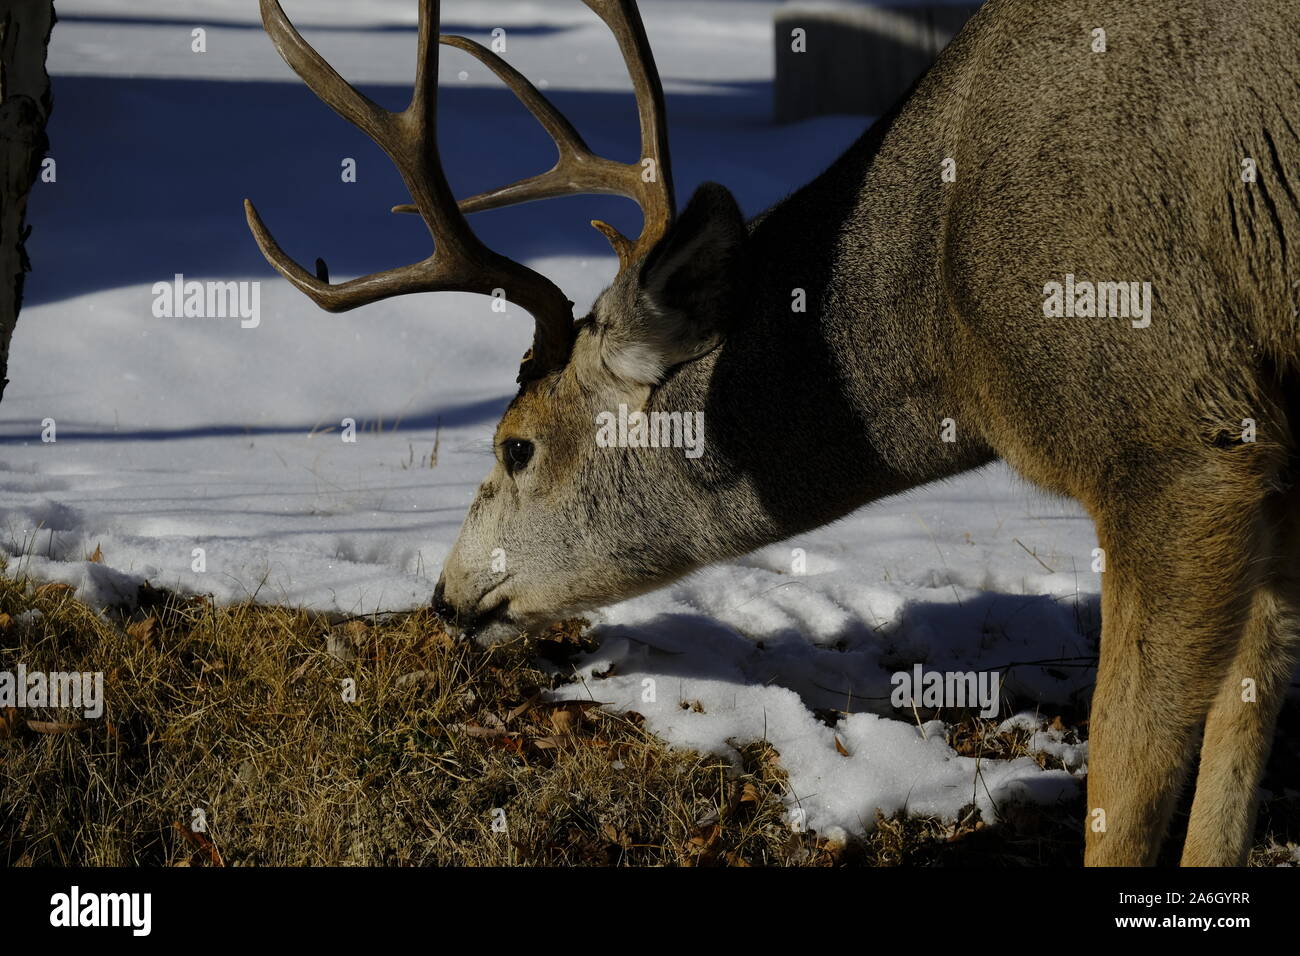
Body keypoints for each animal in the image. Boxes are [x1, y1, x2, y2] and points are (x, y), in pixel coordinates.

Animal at [244, 0, 1300, 866]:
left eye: (516, 445)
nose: (446, 595)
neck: (947, 314)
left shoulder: (1172, 430)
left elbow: (1130, 771)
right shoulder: (1275, 447)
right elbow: (1245, 718)